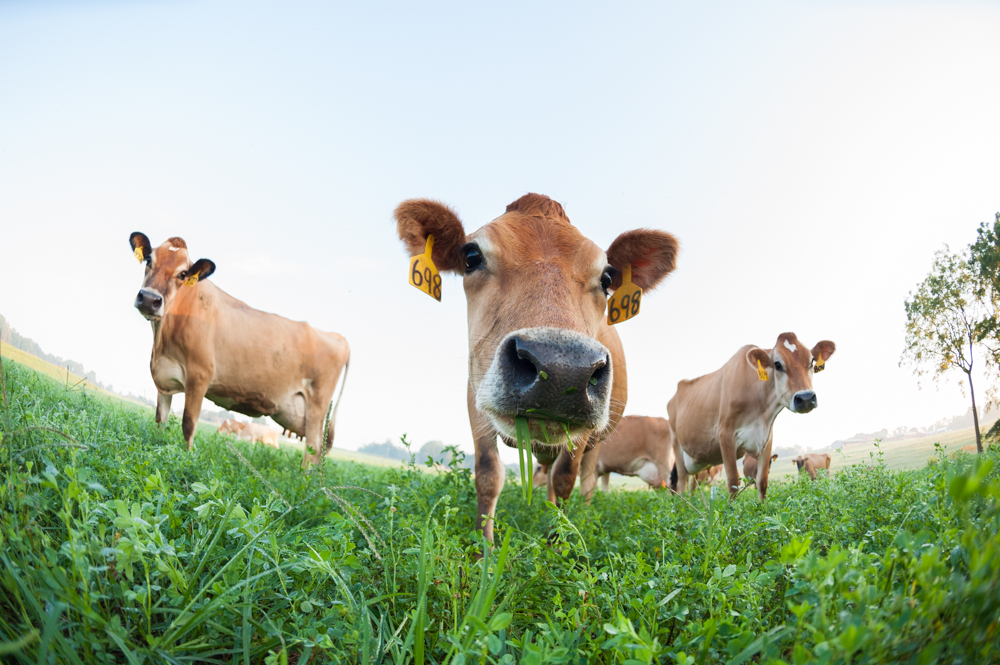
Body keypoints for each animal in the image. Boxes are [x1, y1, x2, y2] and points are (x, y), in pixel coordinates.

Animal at [128, 233, 350, 465]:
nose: (150, 299)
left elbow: (188, 424)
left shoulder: (200, 376)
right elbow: (160, 420)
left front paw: (187, 459)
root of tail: (338, 337)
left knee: (313, 448)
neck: (163, 342)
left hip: (317, 405)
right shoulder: (164, 378)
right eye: (149, 260)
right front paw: (158, 448)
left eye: (183, 273)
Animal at [395, 193, 678, 543]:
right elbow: (488, 474)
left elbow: (565, 479)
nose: (562, 369)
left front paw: (557, 544)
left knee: (585, 482)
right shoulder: (475, 400)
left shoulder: (583, 434)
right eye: (472, 256)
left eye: (607, 278)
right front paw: (482, 546)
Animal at [667, 332, 835, 500]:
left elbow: (762, 481)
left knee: (692, 485)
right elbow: (733, 482)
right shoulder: (725, 436)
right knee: (681, 484)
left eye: (812, 360)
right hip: (677, 447)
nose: (805, 398)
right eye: (777, 364)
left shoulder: (766, 439)